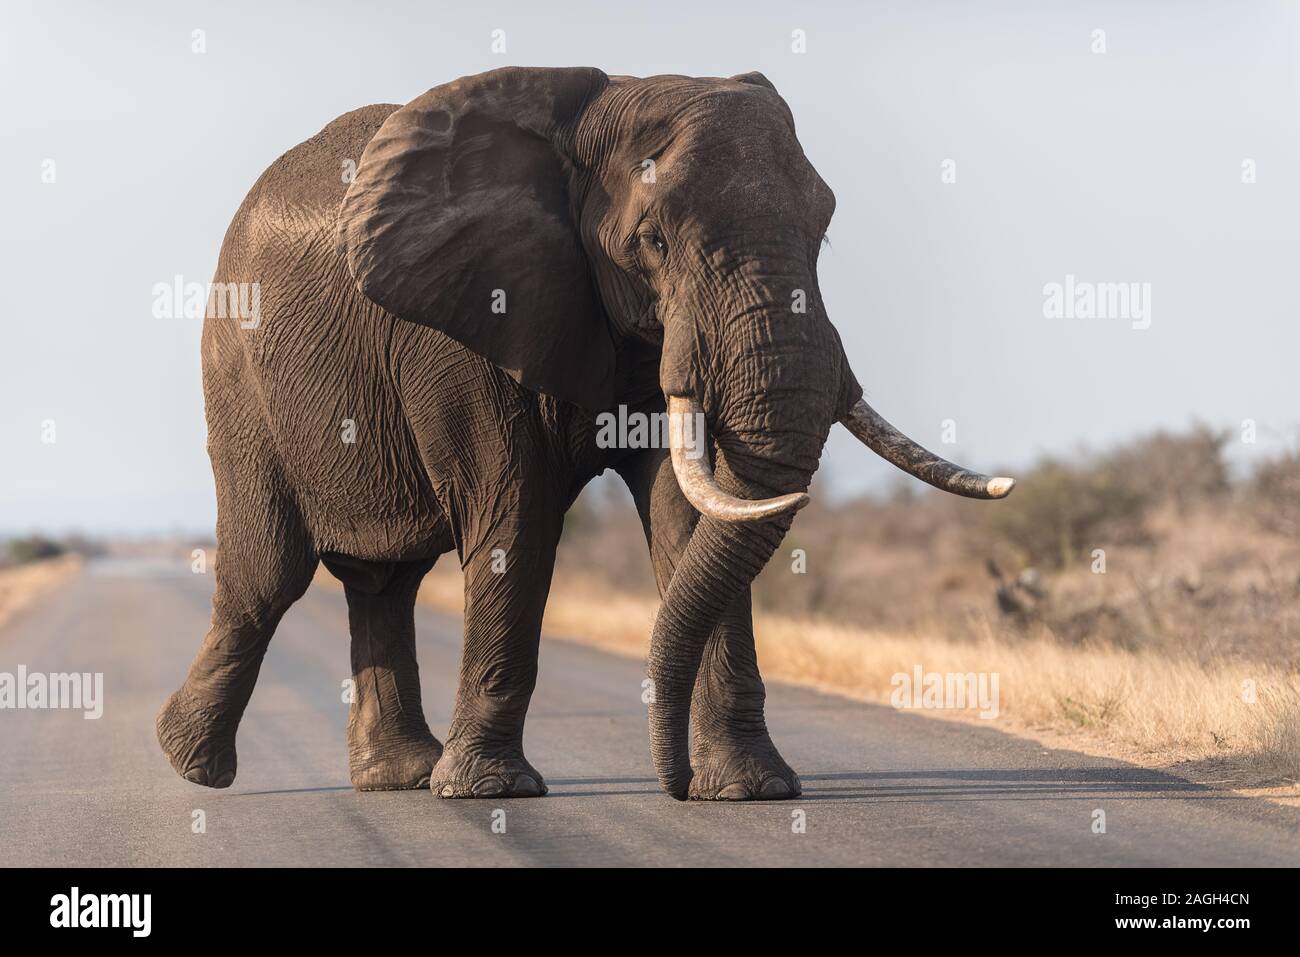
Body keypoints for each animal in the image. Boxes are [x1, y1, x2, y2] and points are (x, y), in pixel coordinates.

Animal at [157, 66, 1014, 802]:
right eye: (654, 241)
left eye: (824, 231)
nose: (672, 781)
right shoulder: (461, 325)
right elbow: (517, 520)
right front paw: (492, 791)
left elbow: (690, 513)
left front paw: (752, 789)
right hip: (237, 376)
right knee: (268, 574)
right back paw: (191, 762)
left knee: (385, 581)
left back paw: (397, 776)